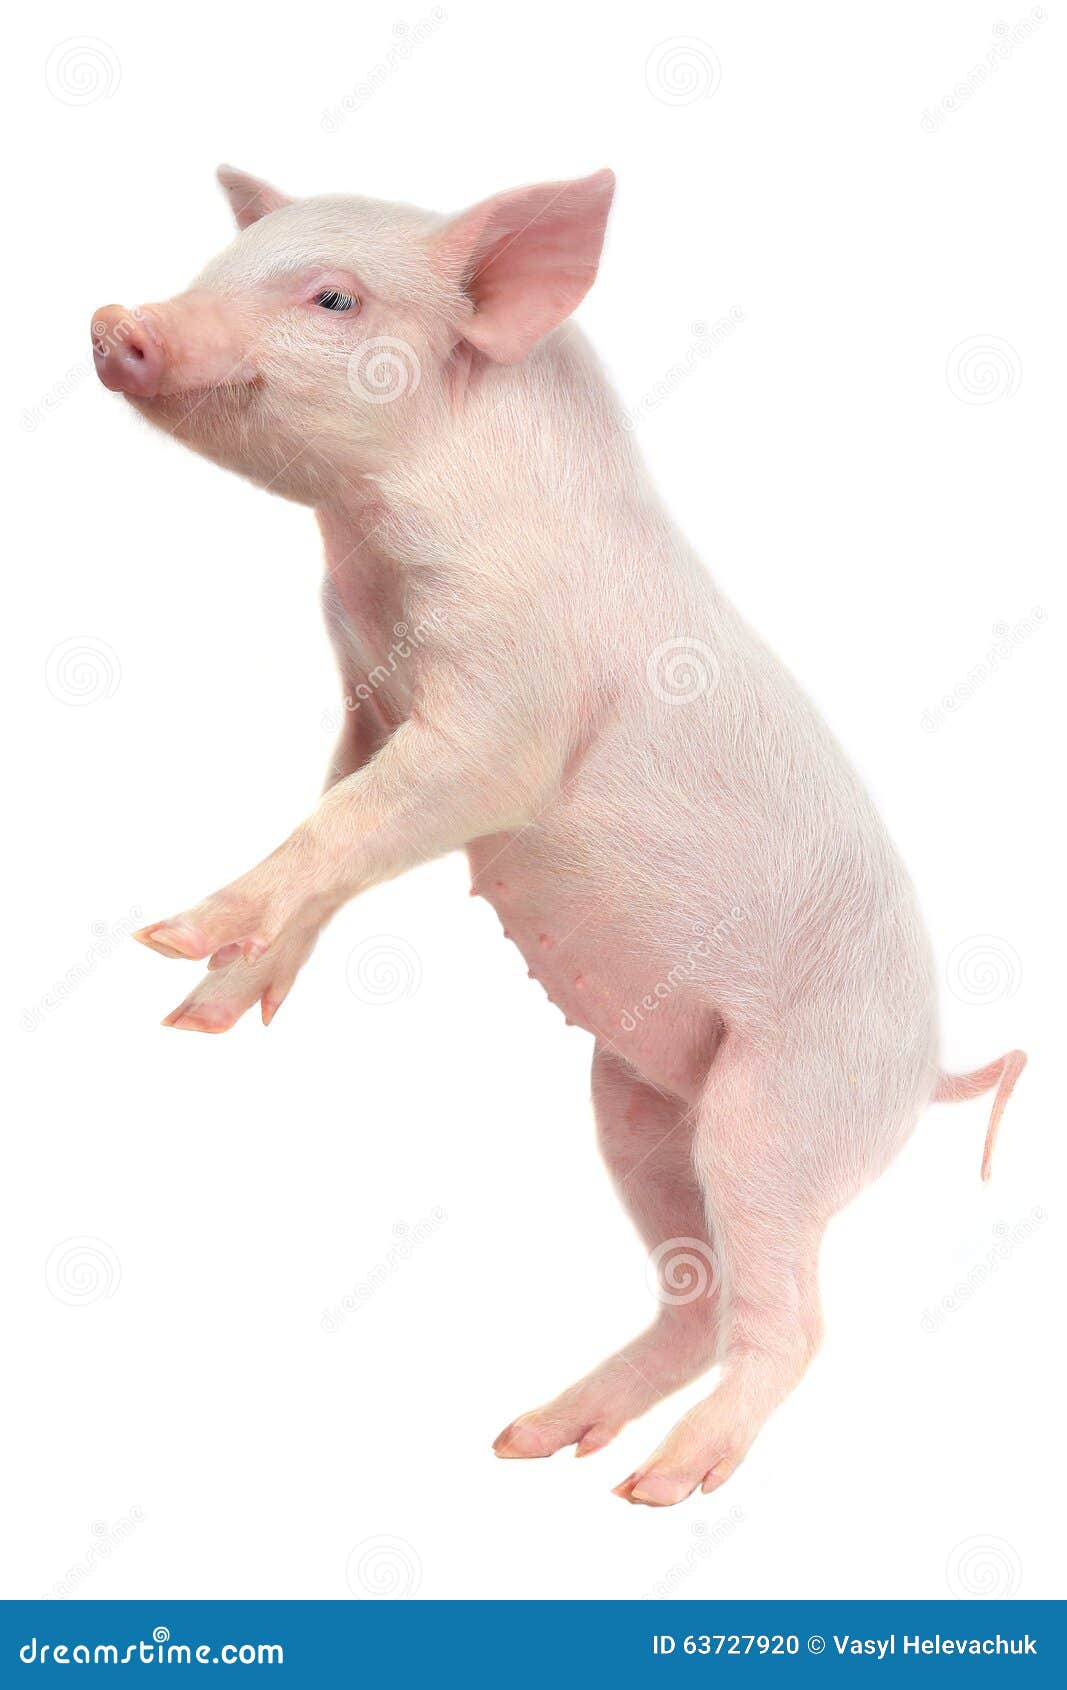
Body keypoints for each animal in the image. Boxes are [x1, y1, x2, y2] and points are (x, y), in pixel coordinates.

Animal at [91, 166, 1026, 1507]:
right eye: (220, 266)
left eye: (332, 297)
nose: (118, 317)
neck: (373, 558)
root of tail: (923, 1069)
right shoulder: (369, 706)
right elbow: (333, 826)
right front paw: (196, 1015)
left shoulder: (498, 730)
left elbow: (352, 822)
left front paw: (164, 940)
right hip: (639, 1102)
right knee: (694, 1300)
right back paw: (532, 1440)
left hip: (781, 1109)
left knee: (788, 1317)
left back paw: (657, 1486)